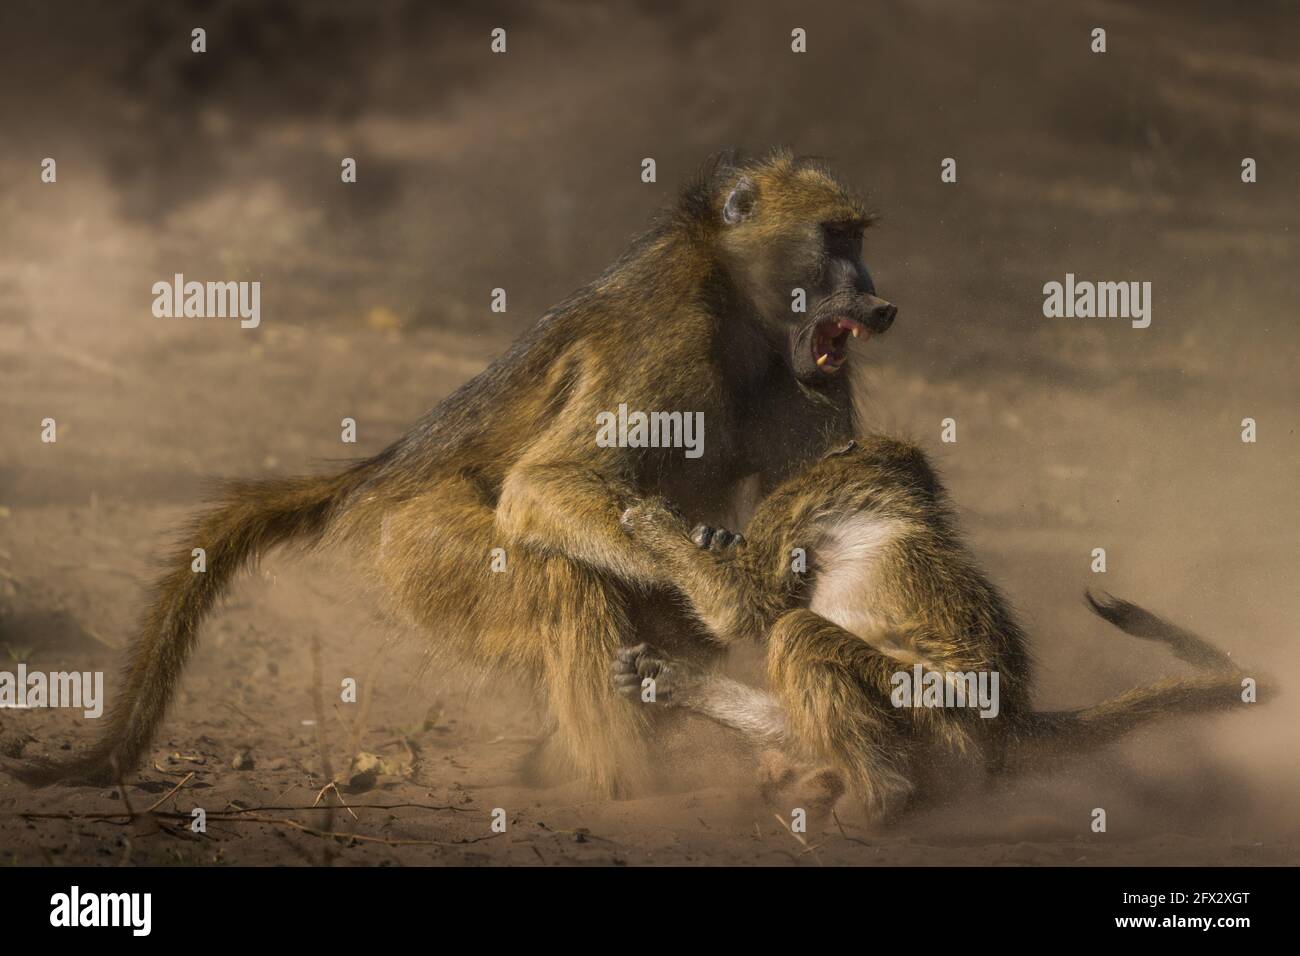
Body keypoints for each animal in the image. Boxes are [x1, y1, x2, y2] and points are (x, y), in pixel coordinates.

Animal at [8, 149, 900, 797]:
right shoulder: (667, 337)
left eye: (860, 240)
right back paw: (623, 788)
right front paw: (729, 587)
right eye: (836, 239)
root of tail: (391, 472)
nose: (879, 302)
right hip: (423, 550)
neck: (740, 308)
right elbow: (544, 487)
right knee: (557, 576)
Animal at [613, 435, 1263, 820]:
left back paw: (881, 801)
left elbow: (740, 607)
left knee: (797, 633)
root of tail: (1007, 728)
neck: (898, 496)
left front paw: (650, 519)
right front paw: (666, 675)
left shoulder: (804, 502)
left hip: (944, 727)